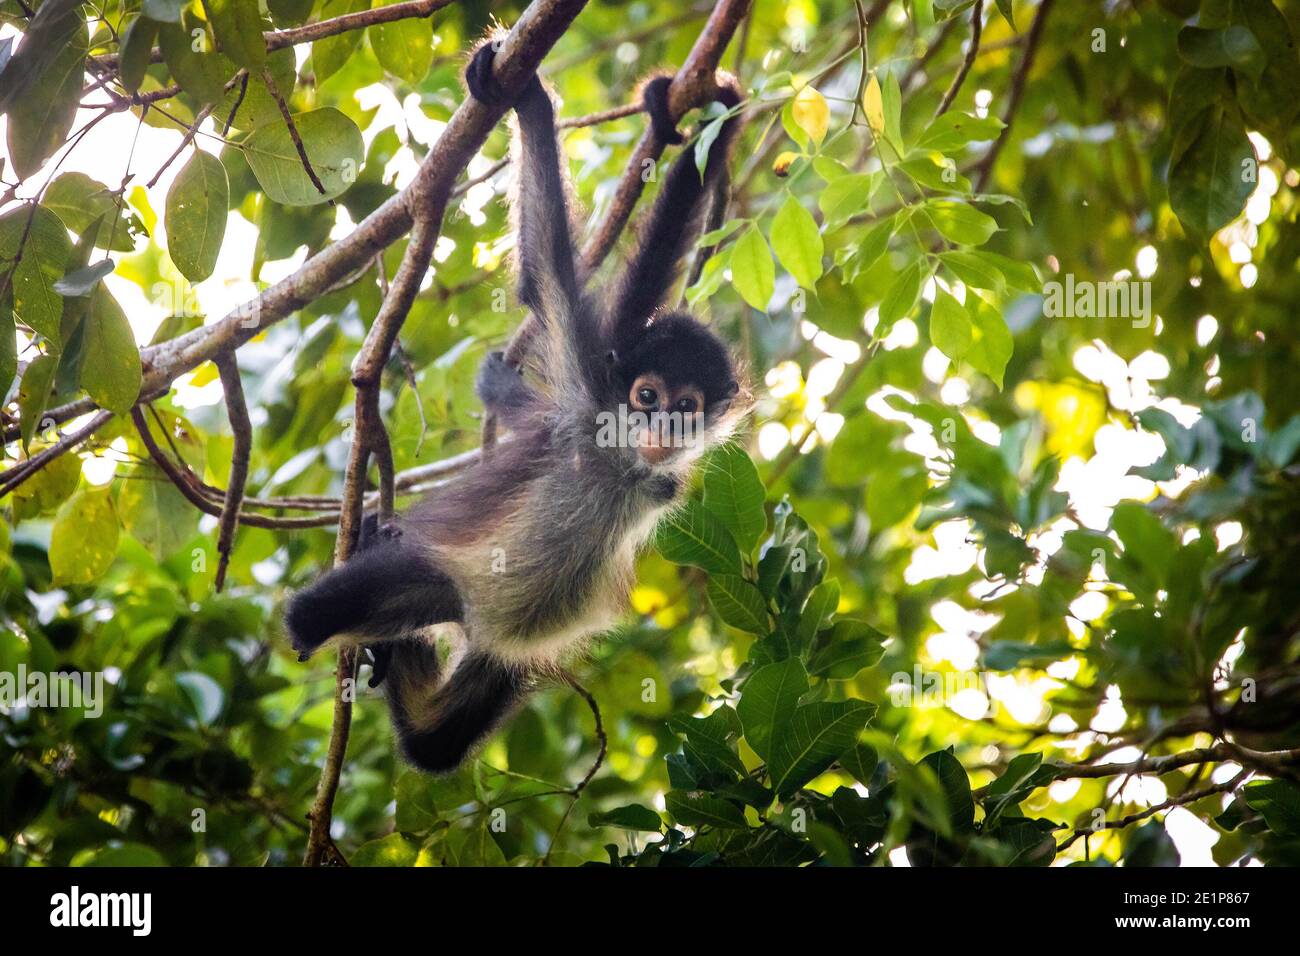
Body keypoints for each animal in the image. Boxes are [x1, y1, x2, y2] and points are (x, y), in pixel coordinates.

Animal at [285, 43, 750, 775]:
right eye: (646, 398)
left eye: (684, 408)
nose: (657, 428)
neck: (624, 464)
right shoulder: (590, 389)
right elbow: (544, 272)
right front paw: (530, 101)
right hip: (439, 577)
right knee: (307, 619)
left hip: (490, 647)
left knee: (436, 743)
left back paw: (402, 662)